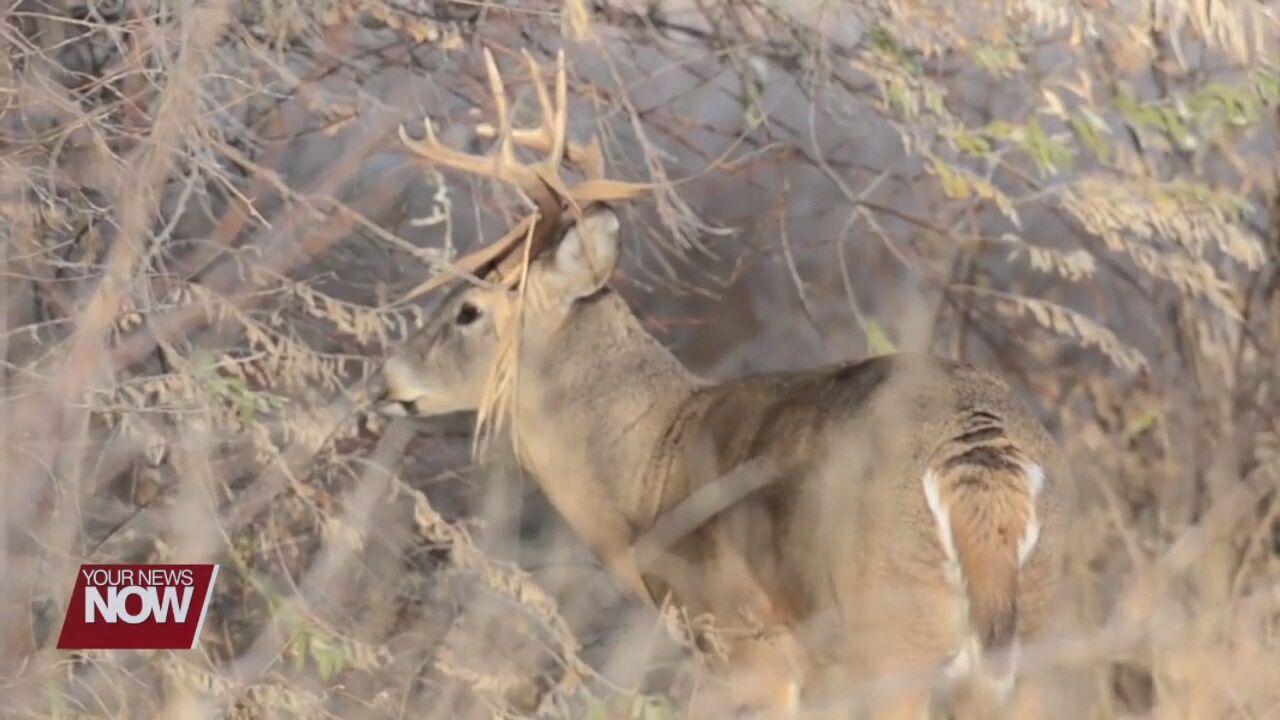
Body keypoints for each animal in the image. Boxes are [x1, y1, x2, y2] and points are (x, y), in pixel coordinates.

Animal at [382, 49, 1064, 719]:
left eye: (469, 310)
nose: (390, 375)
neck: (648, 468)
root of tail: (981, 458)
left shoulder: (737, 634)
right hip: (1041, 640)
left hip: (887, 635)